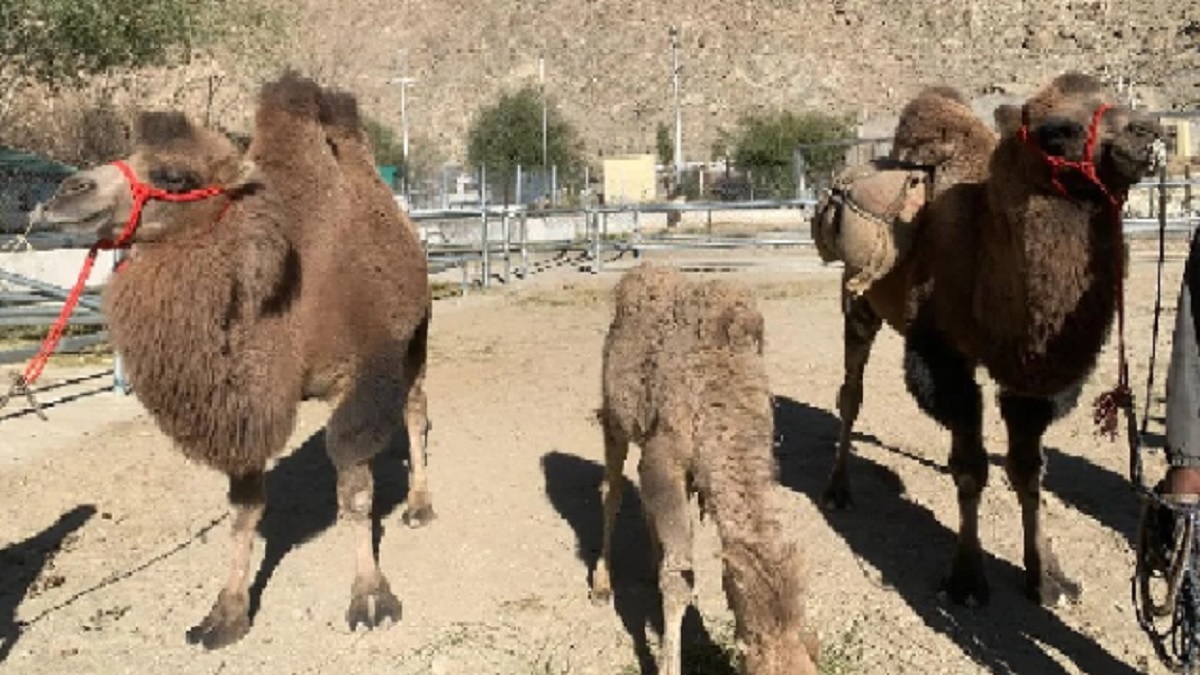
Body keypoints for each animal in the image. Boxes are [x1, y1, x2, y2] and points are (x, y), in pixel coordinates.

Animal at [31, 71, 434, 647]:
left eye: (175, 176)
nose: (65, 193)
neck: (282, 302)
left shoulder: (358, 375)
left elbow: (355, 491)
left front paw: (370, 597)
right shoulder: (242, 406)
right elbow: (245, 510)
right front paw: (224, 613)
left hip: (417, 335)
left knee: (416, 412)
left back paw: (420, 505)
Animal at [820, 72, 1162, 607]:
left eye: (1121, 101)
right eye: (1057, 131)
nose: (1148, 131)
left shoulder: (1030, 374)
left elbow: (1027, 468)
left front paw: (1048, 577)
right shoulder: (942, 358)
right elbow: (970, 467)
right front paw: (966, 579)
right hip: (858, 298)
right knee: (850, 392)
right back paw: (838, 490)